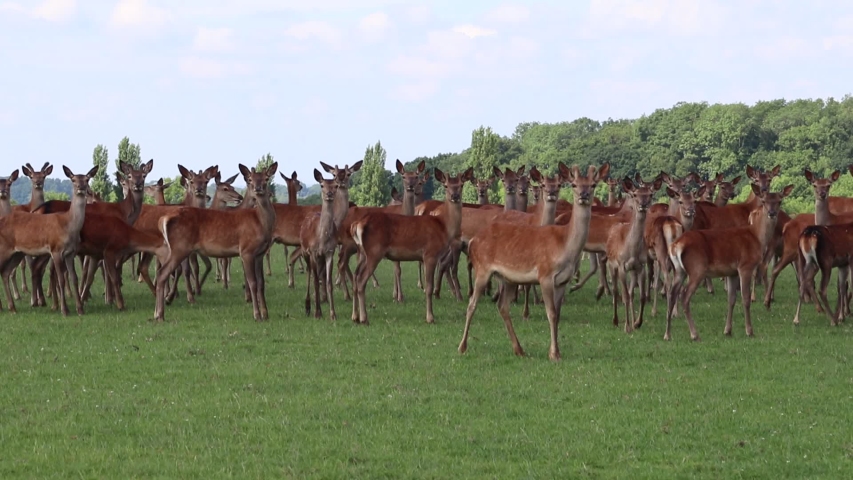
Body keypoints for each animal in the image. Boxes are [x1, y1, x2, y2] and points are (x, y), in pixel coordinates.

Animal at [0, 166, 98, 316]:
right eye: (73, 179)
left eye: (87, 179)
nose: (81, 188)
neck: (68, 226)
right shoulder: (56, 249)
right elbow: (61, 278)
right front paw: (65, 310)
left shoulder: (71, 253)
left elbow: (74, 277)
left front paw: (80, 309)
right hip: (4, 248)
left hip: (17, 253)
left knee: (5, 272)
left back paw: (13, 308)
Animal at [154, 163, 277, 322]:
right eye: (250, 179)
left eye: (267, 178)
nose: (258, 188)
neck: (260, 222)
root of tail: (165, 219)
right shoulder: (246, 251)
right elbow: (253, 283)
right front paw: (257, 315)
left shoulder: (259, 254)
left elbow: (262, 283)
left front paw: (266, 314)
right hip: (179, 248)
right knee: (163, 273)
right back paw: (161, 314)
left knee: (162, 272)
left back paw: (158, 312)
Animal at [350, 167, 473, 325]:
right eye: (446, 185)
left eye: (461, 185)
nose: (455, 196)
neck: (443, 226)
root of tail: (358, 224)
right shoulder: (430, 253)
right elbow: (428, 287)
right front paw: (430, 317)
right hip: (374, 252)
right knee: (360, 280)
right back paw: (364, 318)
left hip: (363, 253)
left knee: (355, 276)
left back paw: (355, 316)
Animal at [458, 163, 608, 361]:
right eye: (574, 184)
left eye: (593, 184)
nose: (584, 195)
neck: (564, 246)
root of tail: (474, 240)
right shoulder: (545, 275)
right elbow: (551, 313)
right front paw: (554, 354)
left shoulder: (562, 281)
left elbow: (558, 313)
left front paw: (556, 351)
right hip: (482, 269)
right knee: (471, 304)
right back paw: (462, 347)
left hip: (508, 278)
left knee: (502, 306)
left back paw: (519, 349)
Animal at [666, 184, 793, 341]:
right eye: (764, 201)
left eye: (779, 201)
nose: (771, 213)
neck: (756, 237)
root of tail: (676, 245)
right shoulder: (745, 265)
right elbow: (745, 298)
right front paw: (749, 331)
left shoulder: (732, 272)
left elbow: (731, 299)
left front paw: (727, 330)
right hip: (697, 269)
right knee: (684, 295)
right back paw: (694, 334)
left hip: (679, 270)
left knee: (672, 294)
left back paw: (667, 334)